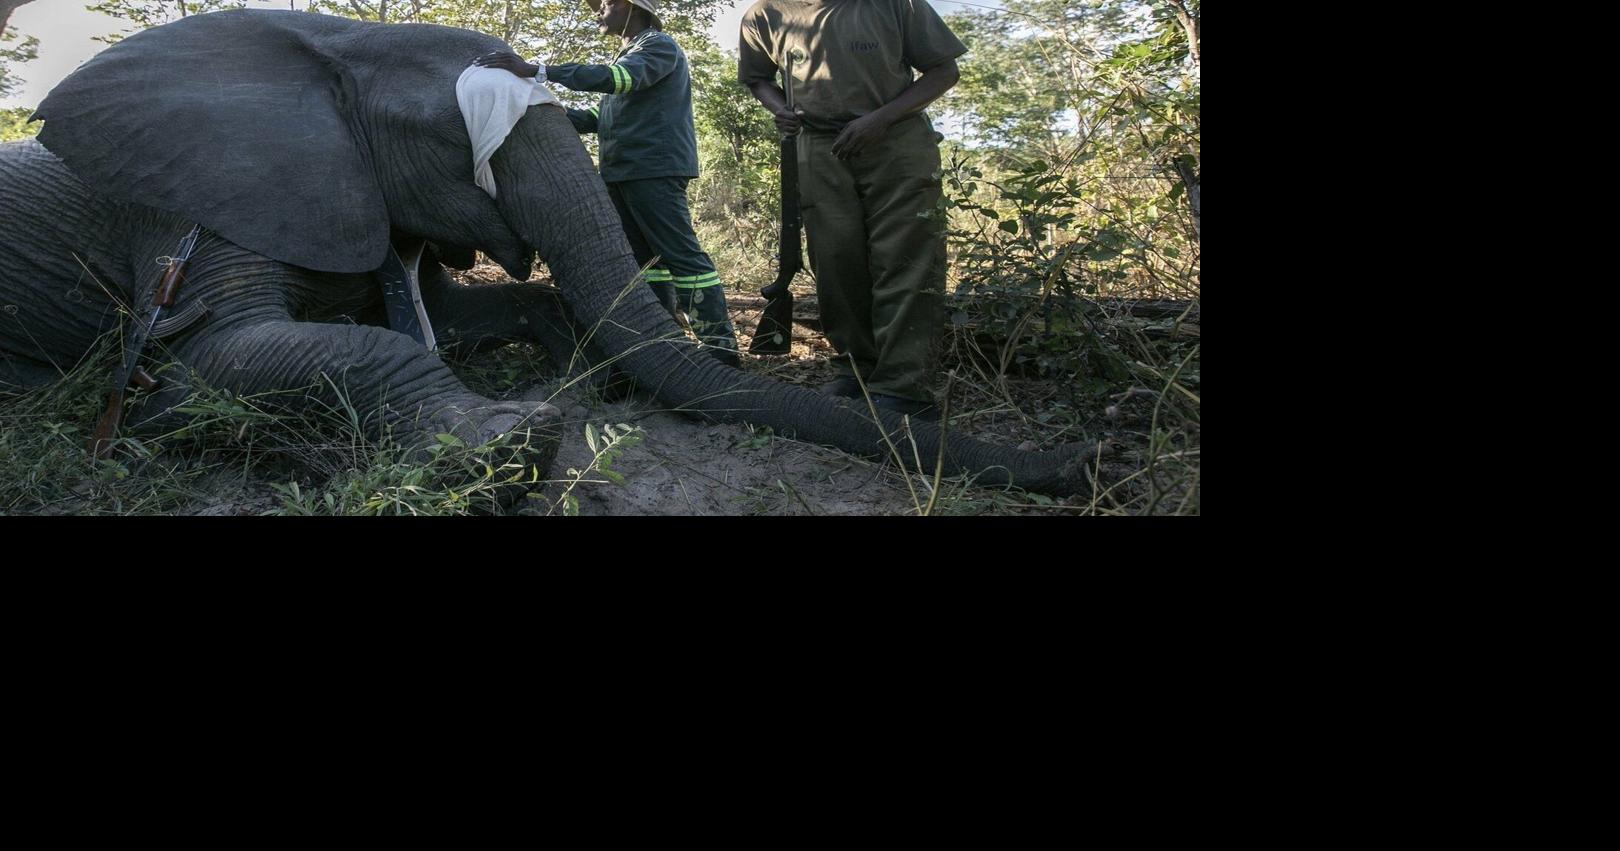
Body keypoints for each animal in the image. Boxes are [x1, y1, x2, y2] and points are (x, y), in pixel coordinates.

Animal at [0, 9, 1094, 497]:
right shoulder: (196, 201)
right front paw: (515, 441)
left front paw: (577, 368)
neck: (330, 45)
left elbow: (450, 315)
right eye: (458, 142)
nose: (1090, 463)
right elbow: (212, 365)